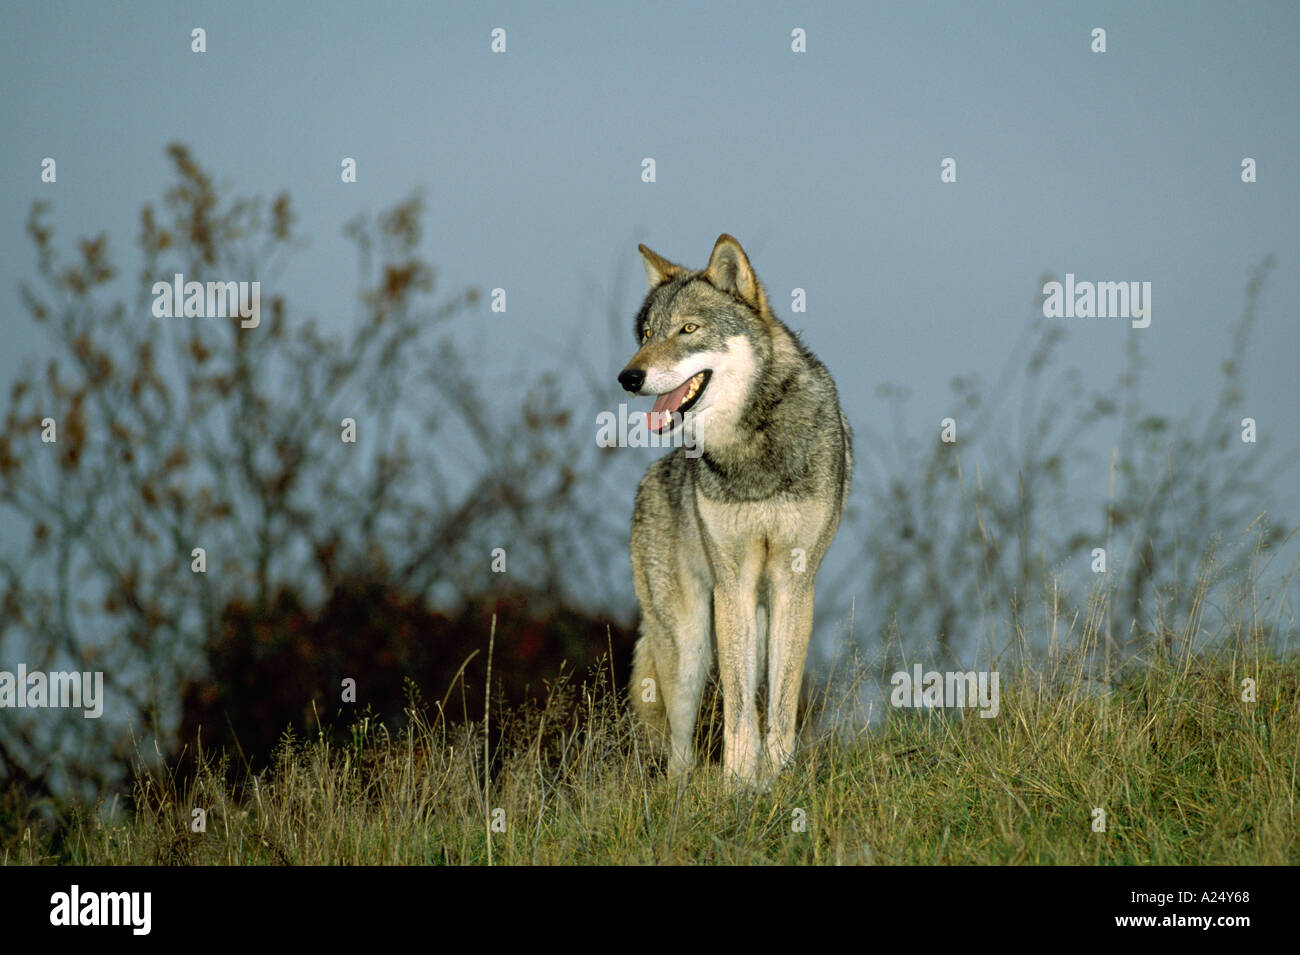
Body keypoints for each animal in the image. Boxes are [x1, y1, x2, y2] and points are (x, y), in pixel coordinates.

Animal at [619, 234, 852, 787]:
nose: (628, 377)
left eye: (688, 329)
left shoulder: (794, 583)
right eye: (646, 333)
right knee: (678, 752)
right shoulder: (734, 585)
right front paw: (740, 784)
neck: (751, 445)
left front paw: (778, 777)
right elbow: (741, 707)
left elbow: (780, 705)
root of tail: (652, 477)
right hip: (687, 645)